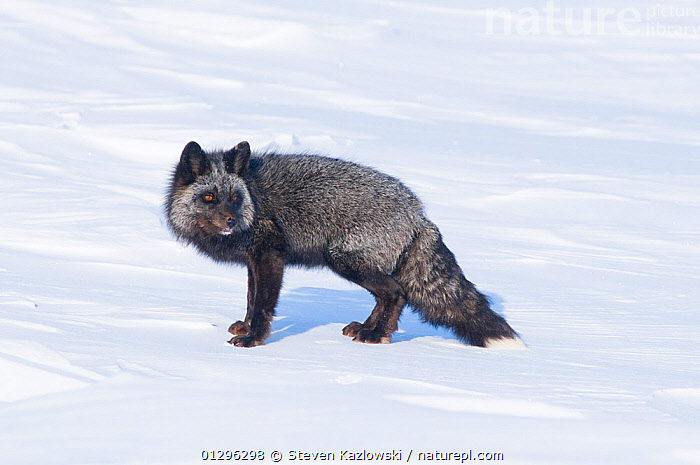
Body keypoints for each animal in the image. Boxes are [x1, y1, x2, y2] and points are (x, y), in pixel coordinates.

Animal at [165, 141, 524, 349]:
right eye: (209, 198)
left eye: (234, 198)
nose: (231, 222)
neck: (255, 197)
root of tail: (418, 212)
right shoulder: (255, 261)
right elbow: (252, 300)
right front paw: (246, 327)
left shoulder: (270, 256)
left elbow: (264, 304)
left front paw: (254, 339)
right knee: (388, 294)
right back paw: (367, 329)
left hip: (345, 259)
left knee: (397, 292)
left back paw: (377, 335)